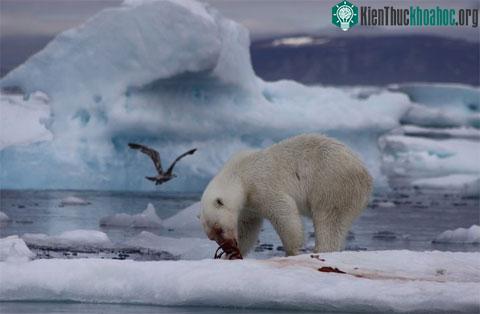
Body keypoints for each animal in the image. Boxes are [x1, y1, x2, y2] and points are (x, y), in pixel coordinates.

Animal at [201, 134, 374, 256]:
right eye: (212, 237)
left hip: (332, 184)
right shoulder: (248, 206)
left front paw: (292, 250)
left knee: (329, 220)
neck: (239, 172)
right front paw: (231, 255)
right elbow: (248, 228)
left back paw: (321, 250)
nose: (228, 247)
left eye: (219, 229)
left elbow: (283, 211)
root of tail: (366, 174)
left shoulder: (261, 184)